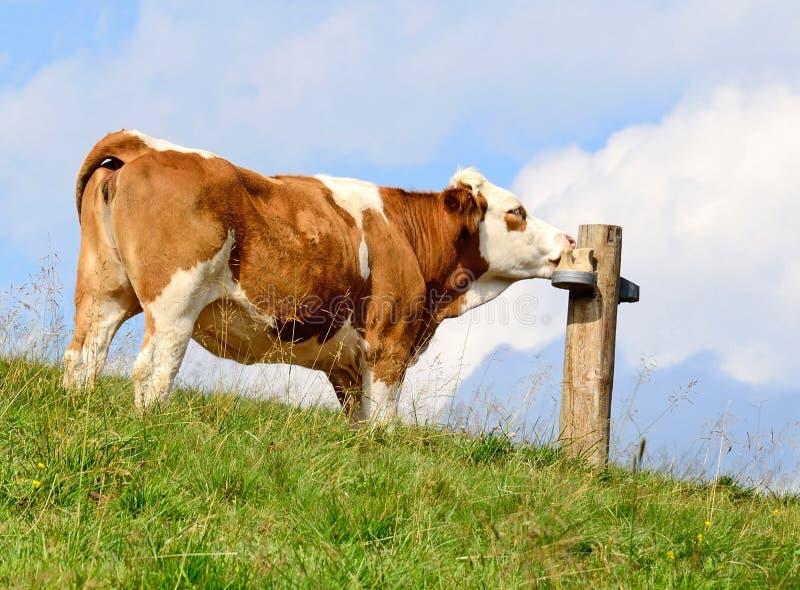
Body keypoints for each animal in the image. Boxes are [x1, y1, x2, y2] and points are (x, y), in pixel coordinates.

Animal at [62, 130, 575, 424]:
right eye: (516, 212)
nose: (569, 239)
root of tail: (146, 146)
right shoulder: (390, 341)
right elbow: (384, 420)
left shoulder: (347, 364)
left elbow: (359, 421)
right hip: (175, 302)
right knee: (152, 368)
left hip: (104, 291)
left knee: (83, 356)